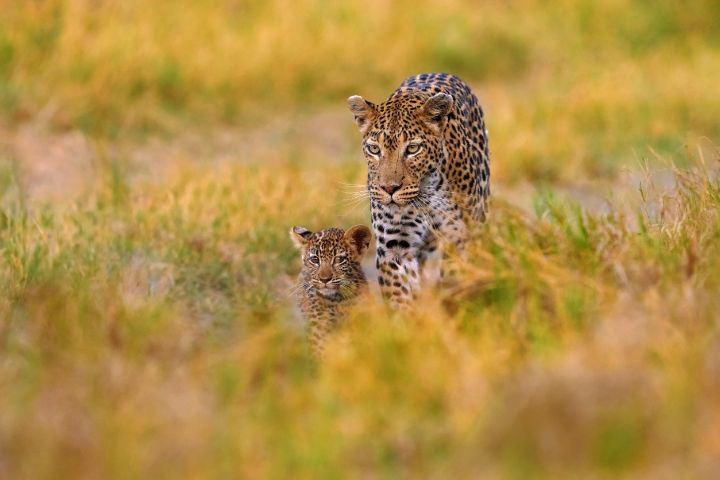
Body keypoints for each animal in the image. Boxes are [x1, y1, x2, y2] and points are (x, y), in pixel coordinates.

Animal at [347, 73, 490, 308]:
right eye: (374, 149)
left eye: (413, 149)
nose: (389, 188)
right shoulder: (396, 246)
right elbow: (400, 294)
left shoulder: (459, 238)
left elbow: (455, 277)